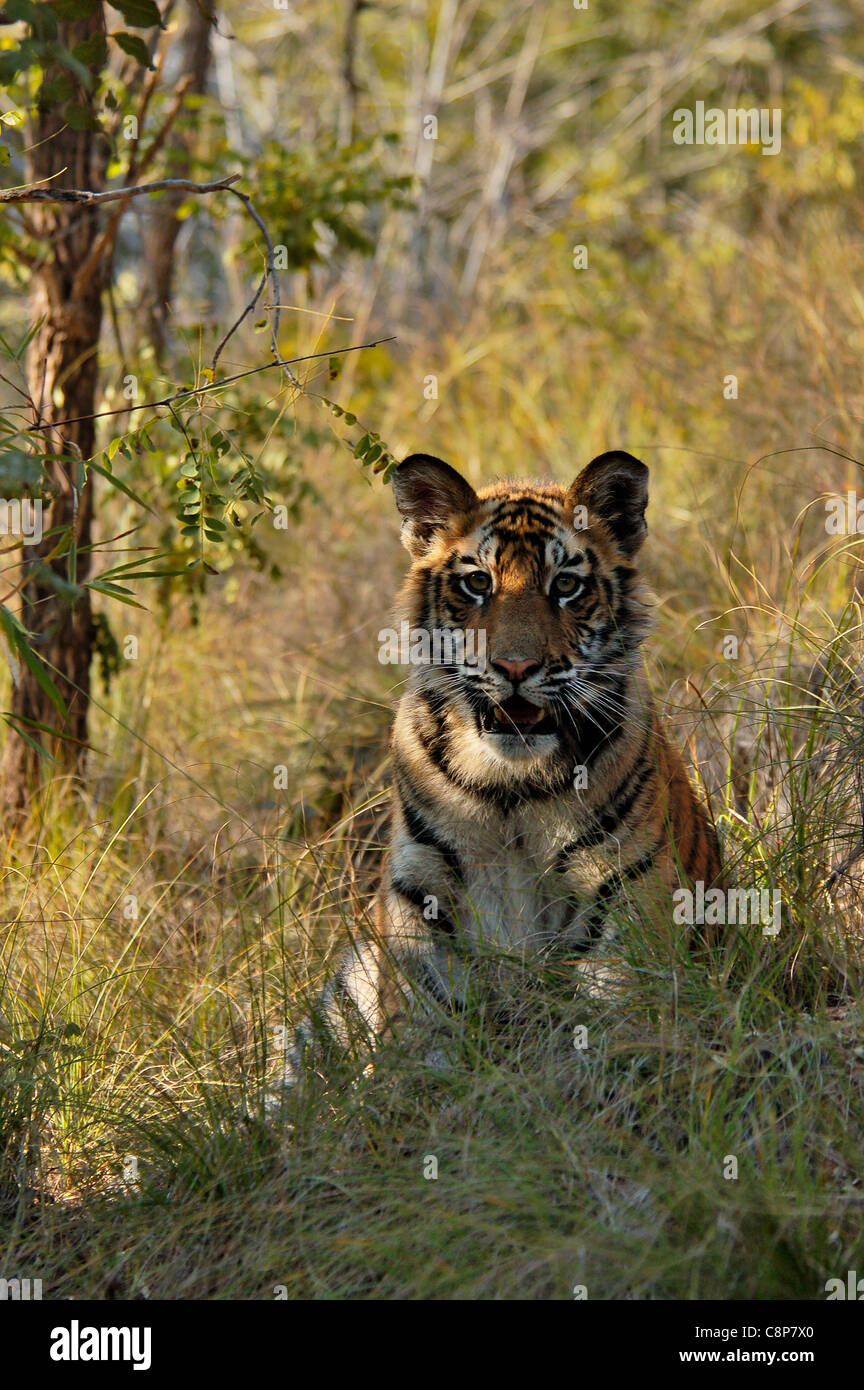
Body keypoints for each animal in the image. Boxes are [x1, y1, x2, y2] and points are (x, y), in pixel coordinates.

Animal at [278, 449, 722, 1090]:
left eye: (566, 585)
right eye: (477, 582)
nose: (515, 666)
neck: (507, 784)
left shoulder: (628, 891)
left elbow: (614, 1025)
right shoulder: (420, 899)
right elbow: (418, 1044)